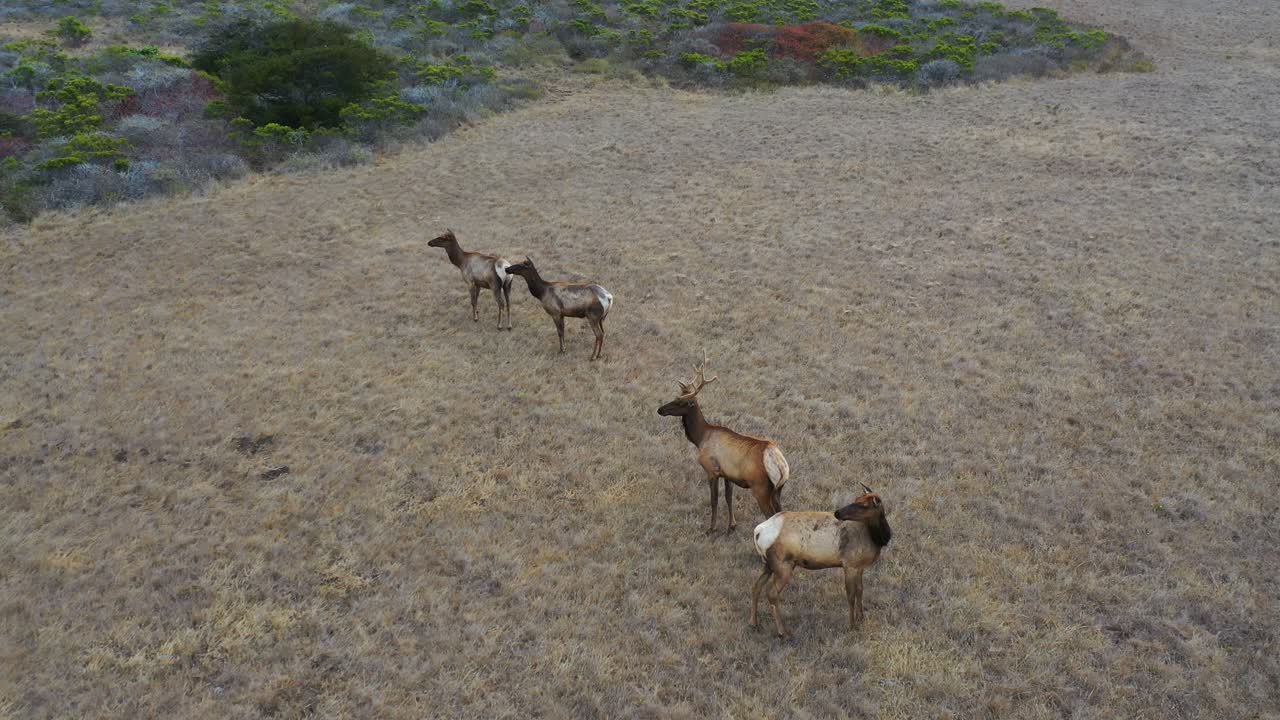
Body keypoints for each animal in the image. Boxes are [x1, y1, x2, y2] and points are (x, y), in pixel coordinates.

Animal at [656, 351, 790, 534]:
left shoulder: (711, 470)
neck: (700, 437)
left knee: (771, 515)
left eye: (680, 402)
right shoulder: (728, 474)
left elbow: (714, 500)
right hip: (778, 490)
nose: (660, 409)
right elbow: (728, 497)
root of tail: (778, 462)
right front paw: (731, 525)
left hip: (761, 488)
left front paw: (711, 528)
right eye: (675, 397)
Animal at [750, 484, 892, 639]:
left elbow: (860, 590)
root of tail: (758, 532)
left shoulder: (859, 566)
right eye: (856, 499)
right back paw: (784, 632)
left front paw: (861, 618)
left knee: (756, 586)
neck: (877, 538)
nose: (837, 512)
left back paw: (754, 623)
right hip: (783, 565)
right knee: (772, 593)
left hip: (768, 564)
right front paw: (852, 625)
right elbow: (851, 595)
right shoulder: (849, 564)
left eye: (864, 505)